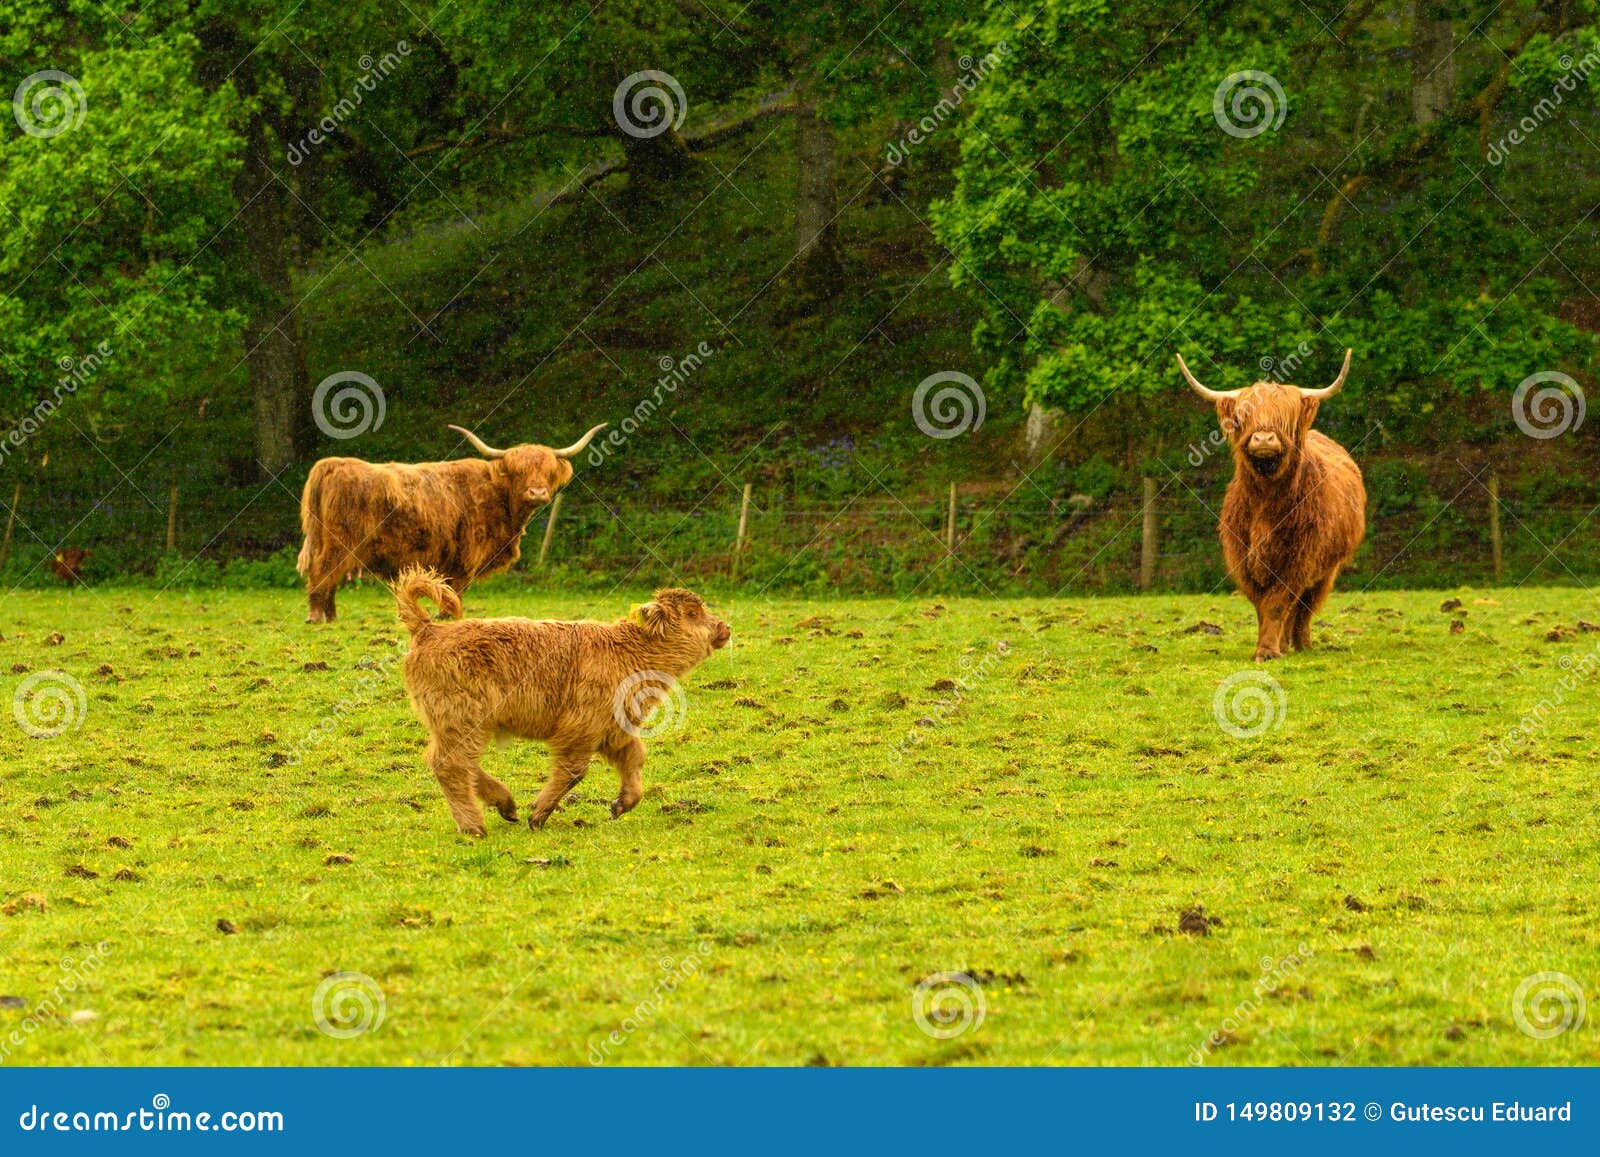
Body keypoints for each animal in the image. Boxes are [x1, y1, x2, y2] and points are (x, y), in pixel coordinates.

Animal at [296, 422, 606, 623]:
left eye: (548, 471)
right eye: (518, 471)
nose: (537, 492)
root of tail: (331, 464)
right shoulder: (467, 554)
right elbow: (456, 587)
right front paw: (448, 615)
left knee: (329, 576)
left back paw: (331, 615)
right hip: (338, 543)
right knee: (321, 571)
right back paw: (316, 616)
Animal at [1177, 349, 1366, 661]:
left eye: (1285, 416)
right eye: (1244, 416)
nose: (1264, 438)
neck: (1265, 499)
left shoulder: (1299, 557)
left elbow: (1279, 603)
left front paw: (1267, 651)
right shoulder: (1242, 557)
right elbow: (1262, 605)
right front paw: (1267, 646)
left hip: (1327, 568)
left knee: (1304, 607)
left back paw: (1302, 644)